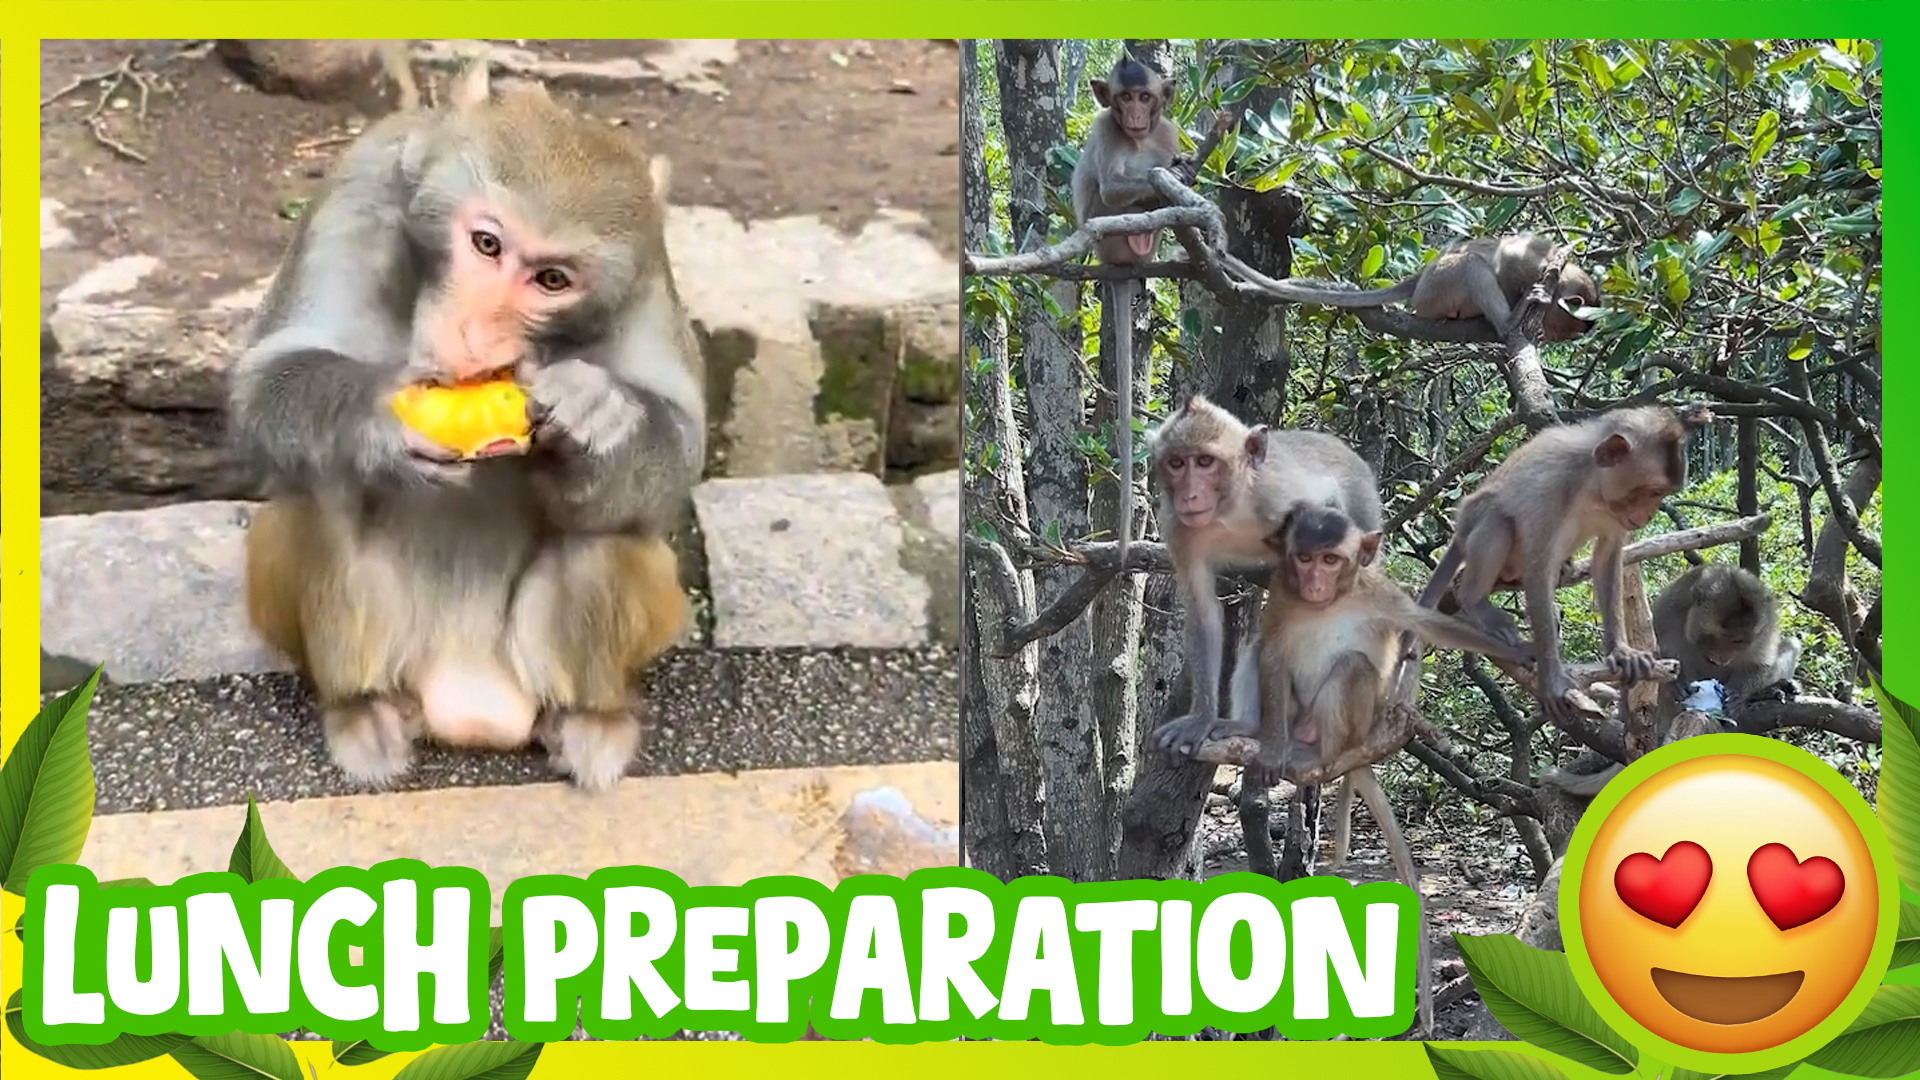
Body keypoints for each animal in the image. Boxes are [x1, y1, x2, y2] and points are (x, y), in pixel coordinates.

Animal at [229, 61, 704, 793]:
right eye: (486, 243)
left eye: (551, 278)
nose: (477, 333)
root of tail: (470, 702)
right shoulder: (360, 184)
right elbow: (265, 381)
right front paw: (377, 423)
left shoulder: (650, 269)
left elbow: (680, 447)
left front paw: (599, 416)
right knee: (323, 495)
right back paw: (361, 710)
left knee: (607, 530)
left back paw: (591, 722)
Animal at [1143, 395, 1383, 758]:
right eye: (1176, 463)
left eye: (1204, 461)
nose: (1189, 495)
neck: (1231, 507)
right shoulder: (1178, 528)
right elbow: (1204, 613)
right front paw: (1200, 718)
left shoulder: (1282, 499)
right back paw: (1248, 726)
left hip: (1362, 497)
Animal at [1274, 233, 1601, 343]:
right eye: (1563, 326)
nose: (1554, 338)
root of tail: (1421, 278)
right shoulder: (1526, 262)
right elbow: (1505, 259)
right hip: (1436, 288)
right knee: (1471, 264)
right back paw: (1509, 321)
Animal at [1412, 405, 1700, 727]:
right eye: (1652, 492)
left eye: (1660, 495)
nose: (1649, 515)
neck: (1592, 484)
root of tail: (1460, 529)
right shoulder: (1551, 488)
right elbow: (1539, 567)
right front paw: (1553, 680)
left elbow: (1608, 557)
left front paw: (1622, 651)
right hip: (1480, 529)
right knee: (1496, 519)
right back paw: (1474, 601)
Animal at [1651, 562, 1803, 709]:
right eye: (1716, 638)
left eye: (1738, 642)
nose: (1723, 659)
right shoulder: (1669, 608)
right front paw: (1675, 682)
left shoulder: (1766, 628)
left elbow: (1760, 663)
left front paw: (1738, 692)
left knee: (1791, 644)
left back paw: (1766, 692)